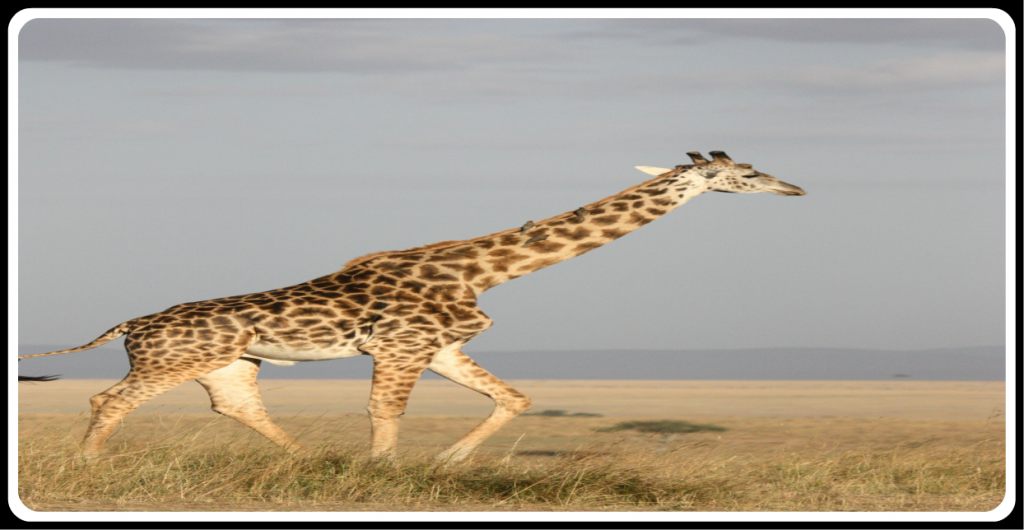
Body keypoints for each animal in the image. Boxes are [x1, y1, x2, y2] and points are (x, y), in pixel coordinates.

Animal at [18, 151, 805, 462]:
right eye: (744, 173)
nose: (794, 188)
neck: (487, 270)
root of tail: (129, 323)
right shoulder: (399, 346)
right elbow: (384, 412)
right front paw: (384, 473)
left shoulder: (443, 347)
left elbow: (515, 398)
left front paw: (448, 462)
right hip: (173, 361)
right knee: (108, 401)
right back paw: (89, 469)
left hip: (230, 362)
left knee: (236, 405)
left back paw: (310, 463)